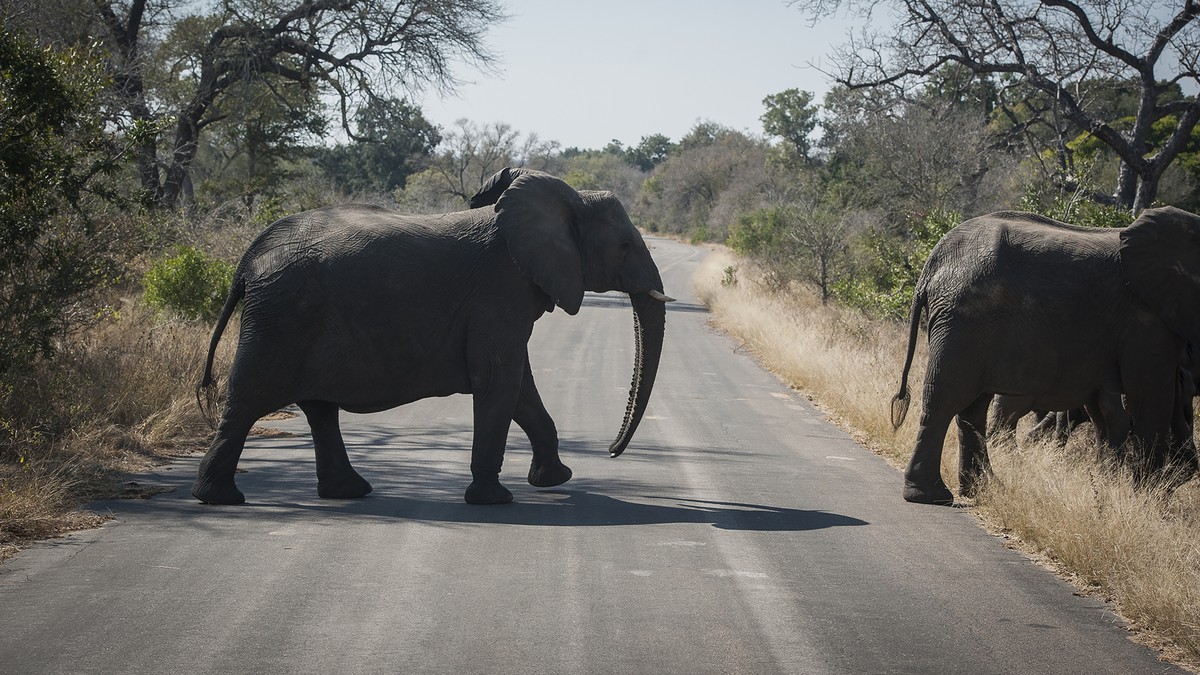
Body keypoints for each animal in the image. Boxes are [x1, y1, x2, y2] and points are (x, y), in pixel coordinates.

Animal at [191, 167, 673, 506]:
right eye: (625, 247)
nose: (611, 452)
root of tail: (247, 261)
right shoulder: (500, 286)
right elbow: (499, 378)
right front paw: (494, 501)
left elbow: (519, 384)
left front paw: (555, 480)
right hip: (279, 318)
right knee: (248, 401)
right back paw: (221, 499)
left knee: (319, 409)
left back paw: (349, 492)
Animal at [890, 207, 1200, 505]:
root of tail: (934, 261)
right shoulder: (1147, 320)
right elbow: (1150, 399)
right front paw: (1147, 502)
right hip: (964, 318)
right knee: (947, 397)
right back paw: (932, 496)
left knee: (972, 408)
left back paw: (985, 490)